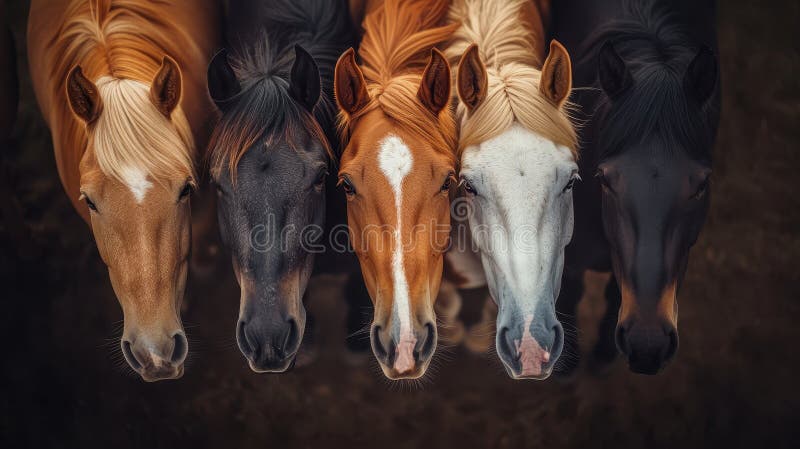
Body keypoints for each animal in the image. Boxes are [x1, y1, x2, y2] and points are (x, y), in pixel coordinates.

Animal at [551, 0, 720, 375]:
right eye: (604, 179)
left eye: (701, 185)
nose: (648, 345)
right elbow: (571, 288)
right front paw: (567, 364)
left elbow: (616, 291)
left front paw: (602, 354)